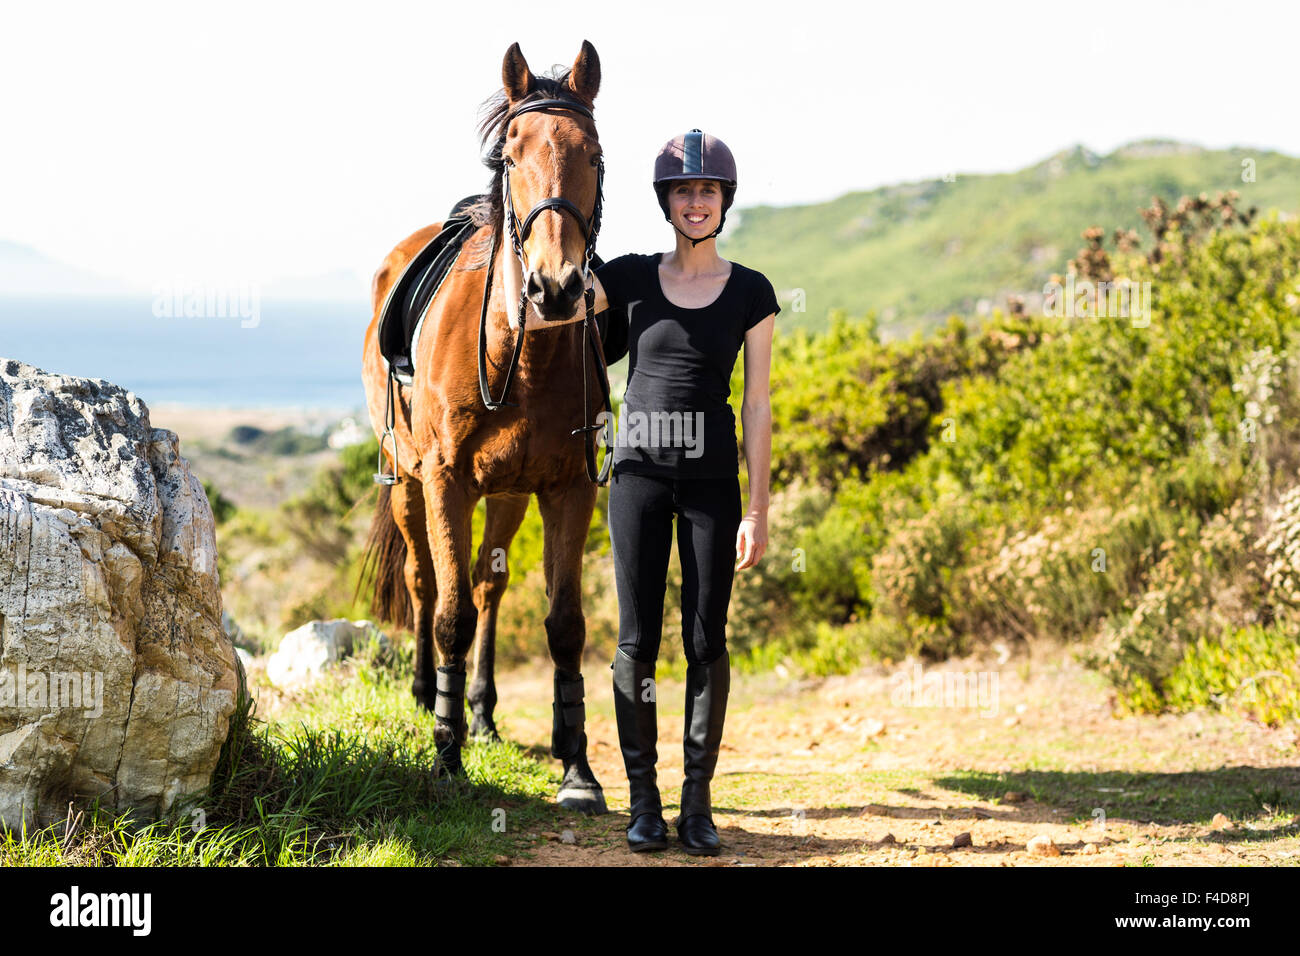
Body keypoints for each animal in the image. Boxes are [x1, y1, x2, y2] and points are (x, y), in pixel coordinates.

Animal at [358, 40, 612, 814]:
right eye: (512, 153)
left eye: (593, 153)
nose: (555, 287)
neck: (519, 354)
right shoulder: (445, 483)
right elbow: (448, 616)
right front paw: (446, 758)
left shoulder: (568, 489)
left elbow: (563, 624)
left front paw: (577, 767)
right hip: (408, 482)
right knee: (426, 584)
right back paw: (425, 695)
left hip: (505, 496)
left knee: (485, 588)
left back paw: (482, 711)